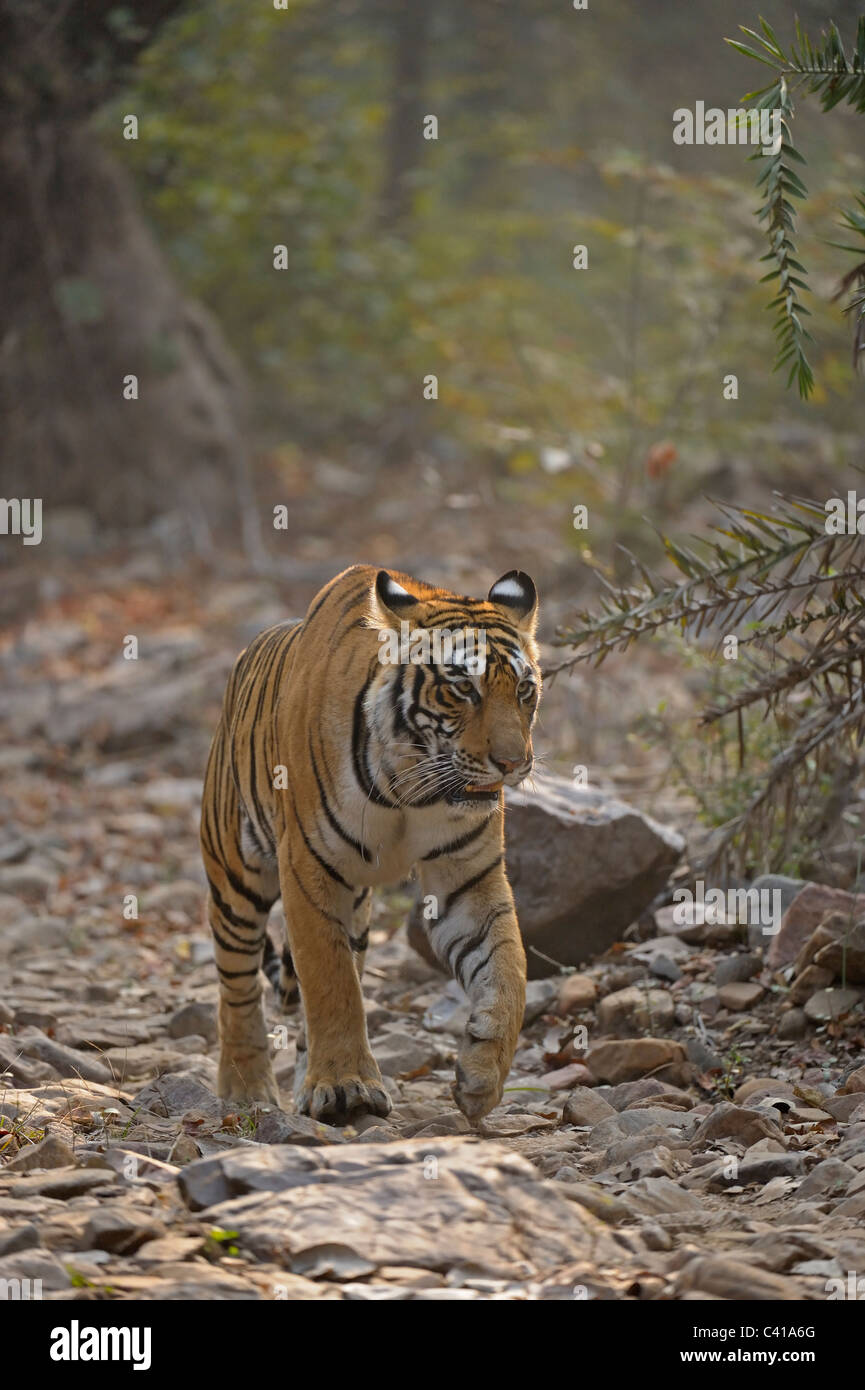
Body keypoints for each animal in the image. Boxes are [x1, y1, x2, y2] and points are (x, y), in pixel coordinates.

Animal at [200, 563, 541, 1125]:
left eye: (525, 691)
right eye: (463, 688)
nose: (513, 763)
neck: (412, 785)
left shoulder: (467, 878)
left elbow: (508, 967)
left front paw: (482, 1076)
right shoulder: (307, 867)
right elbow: (330, 979)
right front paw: (345, 1086)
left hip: (355, 903)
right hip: (235, 876)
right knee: (238, 984)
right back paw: (246, 1090)